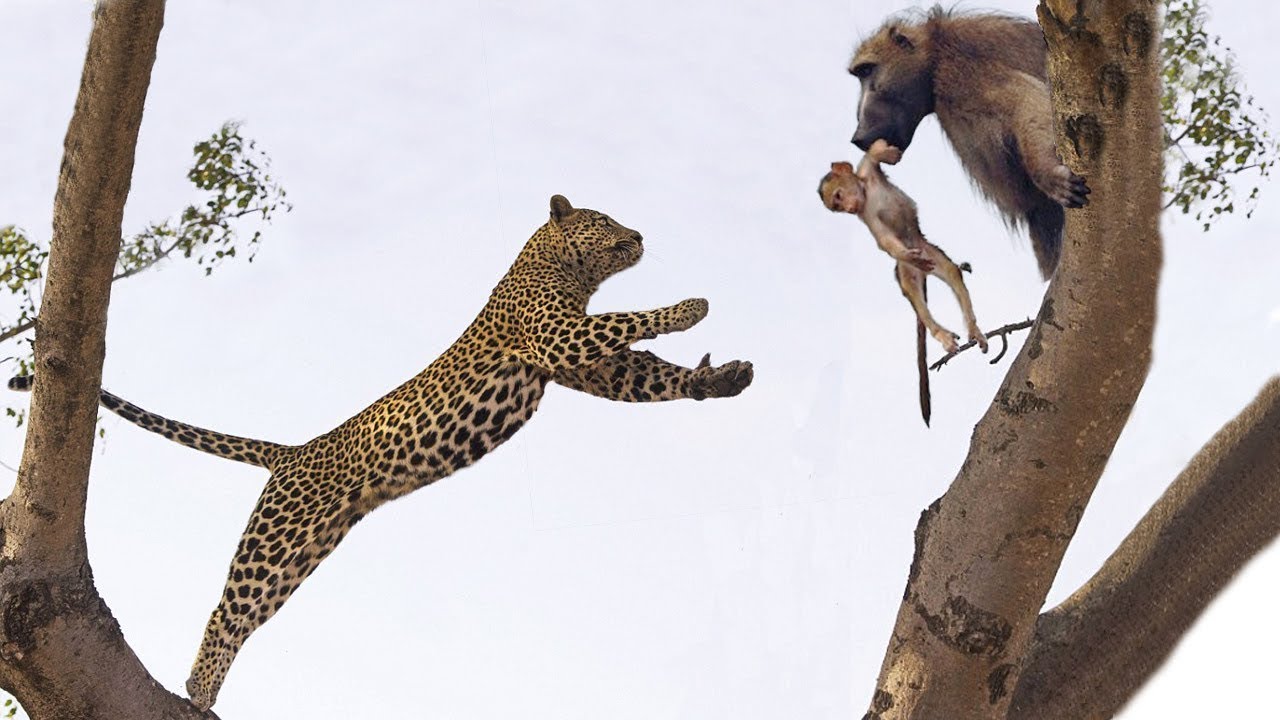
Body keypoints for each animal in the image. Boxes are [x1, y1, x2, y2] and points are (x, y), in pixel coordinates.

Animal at [8, 194, 753, 711]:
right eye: (603, 219)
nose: (641, 235)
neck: (559, 267)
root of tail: (295, 450)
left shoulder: (587, 364)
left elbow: (647, 373)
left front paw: (719, 378)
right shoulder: (556, 336)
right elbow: (630, 320)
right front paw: (691, 306)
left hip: (305, 552)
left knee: (244, 617)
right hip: (276, 539)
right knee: (225, 610)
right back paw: (198, 695)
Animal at [819, 139, 986, 424]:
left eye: (838, 196)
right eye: (837, 207)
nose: (849, 208)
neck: (866, 190)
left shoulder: (867, 169)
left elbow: (872, 155)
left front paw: (884, 151)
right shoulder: (867, 216)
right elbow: (885, 241)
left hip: (927, 250)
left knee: (952, 272)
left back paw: (973, 327)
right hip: (908, 269)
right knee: (914, 291)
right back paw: (939, 332)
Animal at [847, 7, 1089, 280]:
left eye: (866, 71)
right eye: (860, 74)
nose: (858, 136)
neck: (935, 52)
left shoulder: (961, 74)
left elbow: (1028, 102)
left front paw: (1050, 174)